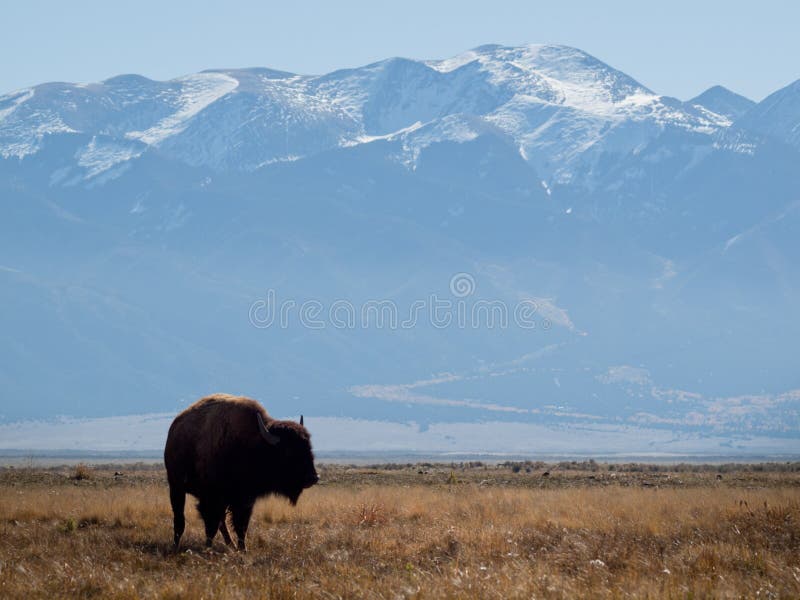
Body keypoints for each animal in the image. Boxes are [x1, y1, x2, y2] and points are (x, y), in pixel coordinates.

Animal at [164, 393, 318, 551]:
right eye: (288, 451)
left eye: (308, 447)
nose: (313, 477)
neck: (252, 444)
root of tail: (174, 429)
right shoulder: (212, 499)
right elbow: (212, 526)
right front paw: (208, 548)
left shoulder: (245, 500)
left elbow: (241, 526)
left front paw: (242, 549)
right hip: (176, 487)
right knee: (179, 519)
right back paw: (176, 545)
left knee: (221, 522)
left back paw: (230, 544)